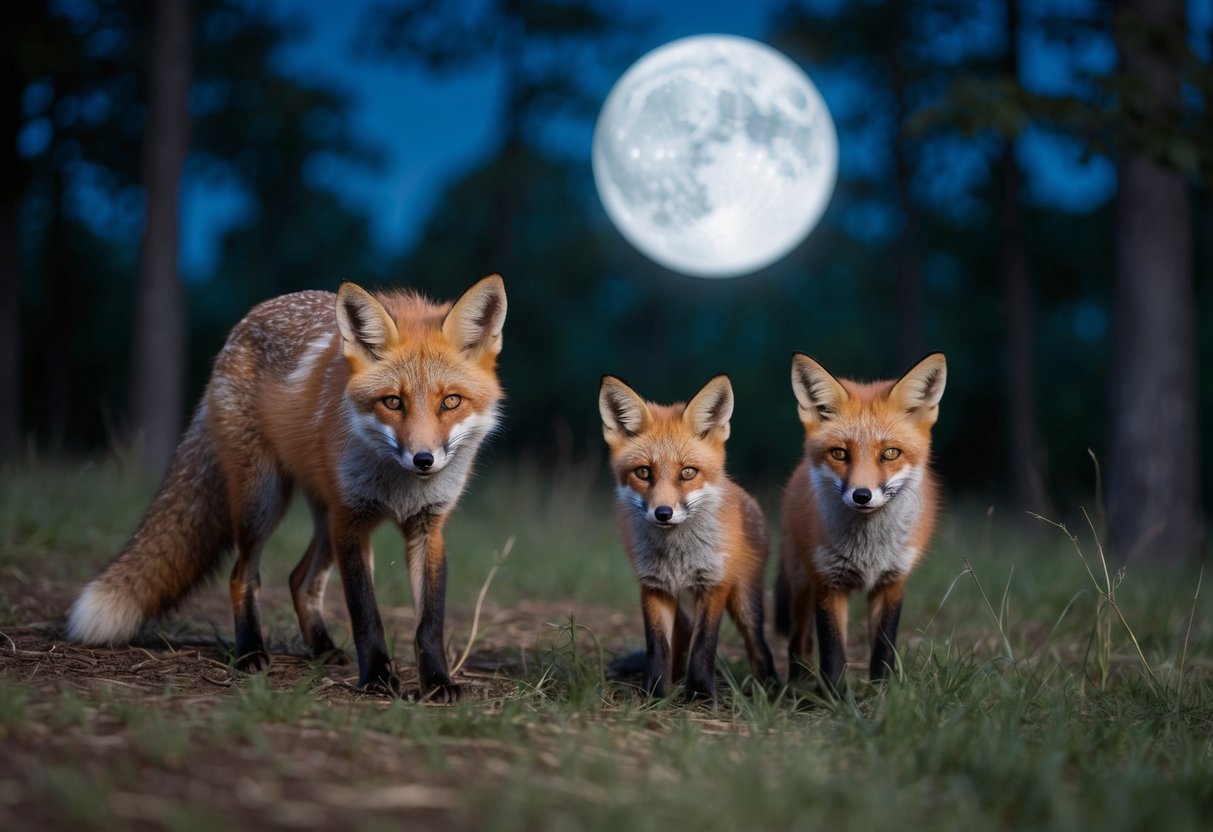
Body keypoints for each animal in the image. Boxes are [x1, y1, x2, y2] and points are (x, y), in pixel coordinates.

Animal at [66, 275, 508, 700]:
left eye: (451, 402)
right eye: (393, 402)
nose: (423, 460)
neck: (399, 490)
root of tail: (246, 321)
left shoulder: (425, 527)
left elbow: (429, 622)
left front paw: (437, 682)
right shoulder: (352, 522)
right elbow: (366, 613)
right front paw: (378, 679)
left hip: (324, 521)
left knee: (299, 580)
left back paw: (322, 648)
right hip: (263, 502)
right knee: (242, 576)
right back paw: (250, 653)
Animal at [599, 374, 778, 702]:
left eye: (687, 472)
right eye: (643, 472)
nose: (663, 513)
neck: (678, 555)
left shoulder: (714, 584)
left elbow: (704, 646)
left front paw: (702, 696)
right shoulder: (653, 586)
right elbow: (658, 646)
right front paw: (656, 693)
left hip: (745, 598)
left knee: (758, 646)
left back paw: (771, 687)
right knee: (682, 629)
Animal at [776, 352, 946, 692]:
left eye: (891, 453)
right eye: (840, 454)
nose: (862, 495)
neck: (868, 551)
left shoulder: (892, 582)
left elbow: (883, 649)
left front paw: (881, 694)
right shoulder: (827, 582)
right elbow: (832, 654)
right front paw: (834, 697)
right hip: (800, 582)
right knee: (799, 642)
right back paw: (795, 690)